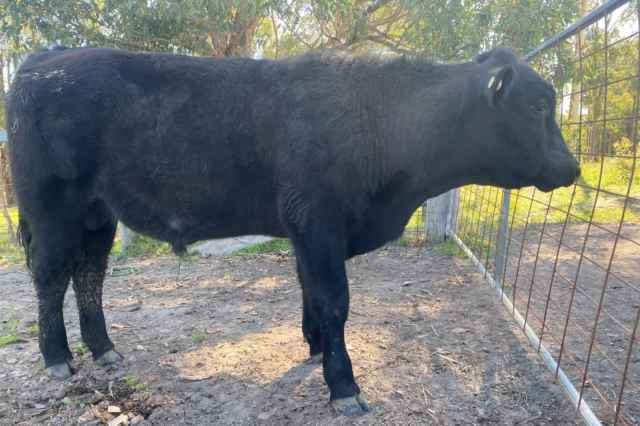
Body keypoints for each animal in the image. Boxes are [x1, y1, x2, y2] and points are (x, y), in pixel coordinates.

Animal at [7, 46, 579, 416]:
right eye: (536, 105)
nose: (572, 167)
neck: (380, 120)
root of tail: (45, 61)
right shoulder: (318, 222)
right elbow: (334, 301)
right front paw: (343, 386)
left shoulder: (306, 232)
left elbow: (310, 293)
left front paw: (314, 348)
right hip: (53, 211)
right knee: (51, 278)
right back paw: (58, 359)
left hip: (97, 216)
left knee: (90, 276)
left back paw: (104, 348)